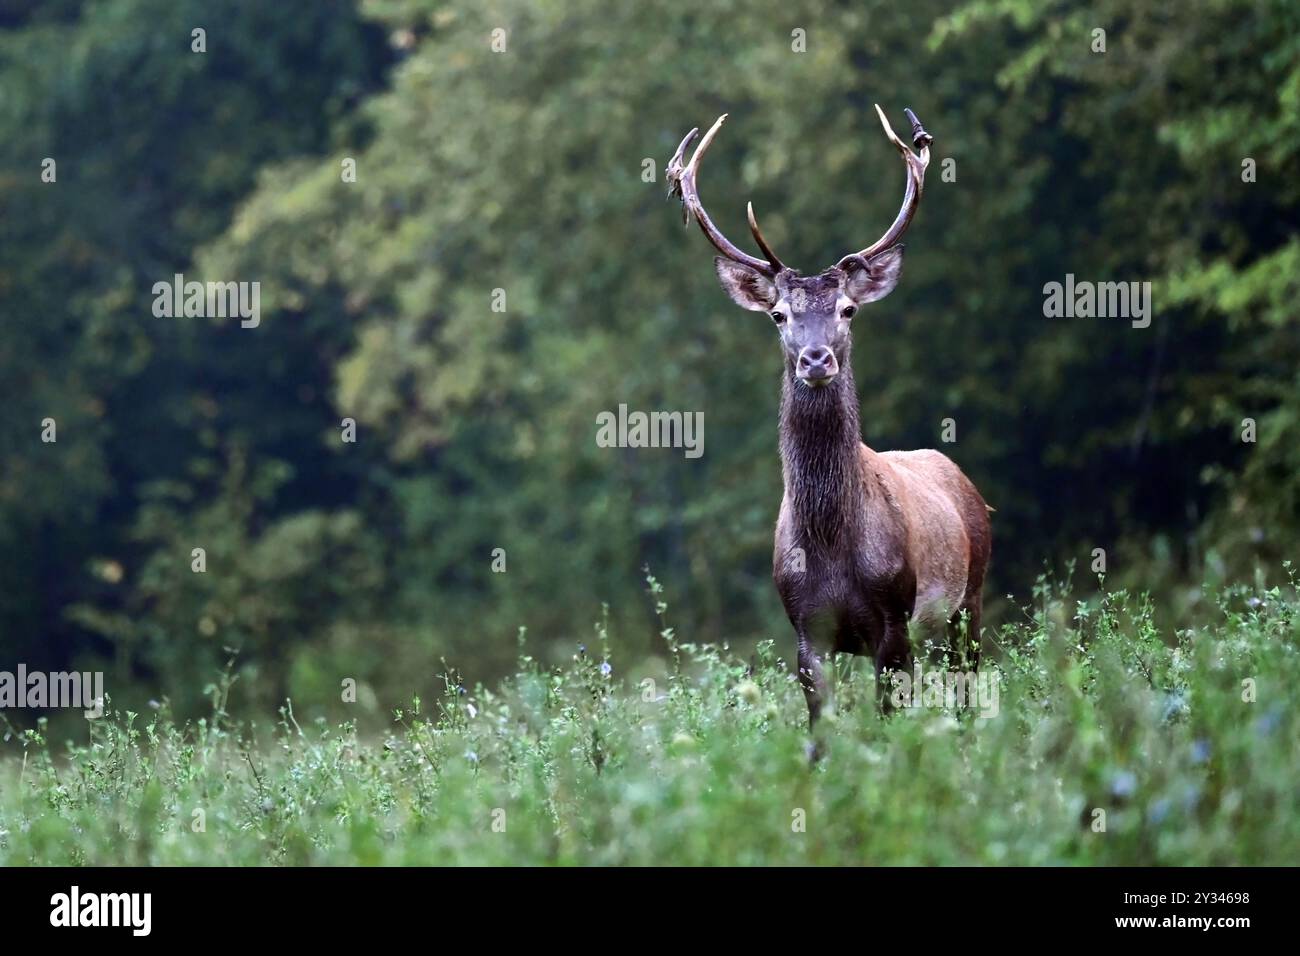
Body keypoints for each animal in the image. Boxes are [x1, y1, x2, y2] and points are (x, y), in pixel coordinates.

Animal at [667, 106, 991, 747]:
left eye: (847, 308)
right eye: (778, 314)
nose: (816, 359)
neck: (831, 548)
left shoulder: (895, 618)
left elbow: (891, 721)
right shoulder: (805, 627)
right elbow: (821, 730)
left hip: (972, 597)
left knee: (968, 686)